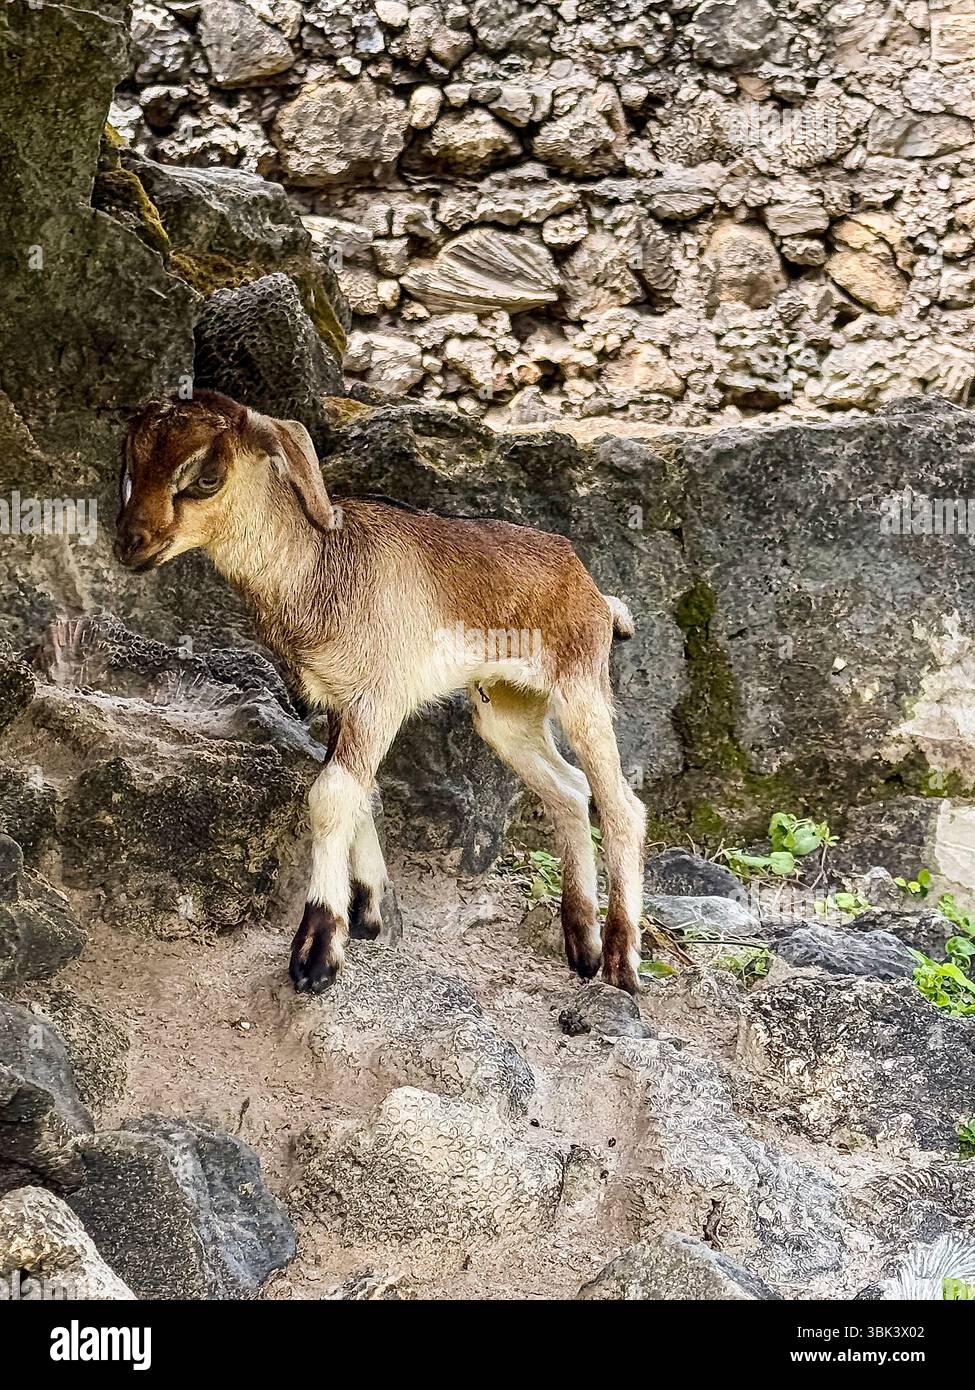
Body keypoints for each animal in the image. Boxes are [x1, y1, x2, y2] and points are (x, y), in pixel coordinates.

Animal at [115, 390, 647, 995]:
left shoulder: (378, 699)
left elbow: (330, 795)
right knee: (568, 788)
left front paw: (317, 952)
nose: (130, 543)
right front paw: (368, 914)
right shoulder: (338, 703)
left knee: (622, 807)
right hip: (506, 709)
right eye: (132, 463)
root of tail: (594, 592)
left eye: (206, 476)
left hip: (580, 689)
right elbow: (360, 793)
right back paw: (581, 948)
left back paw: (621, 967)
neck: (319, 570)